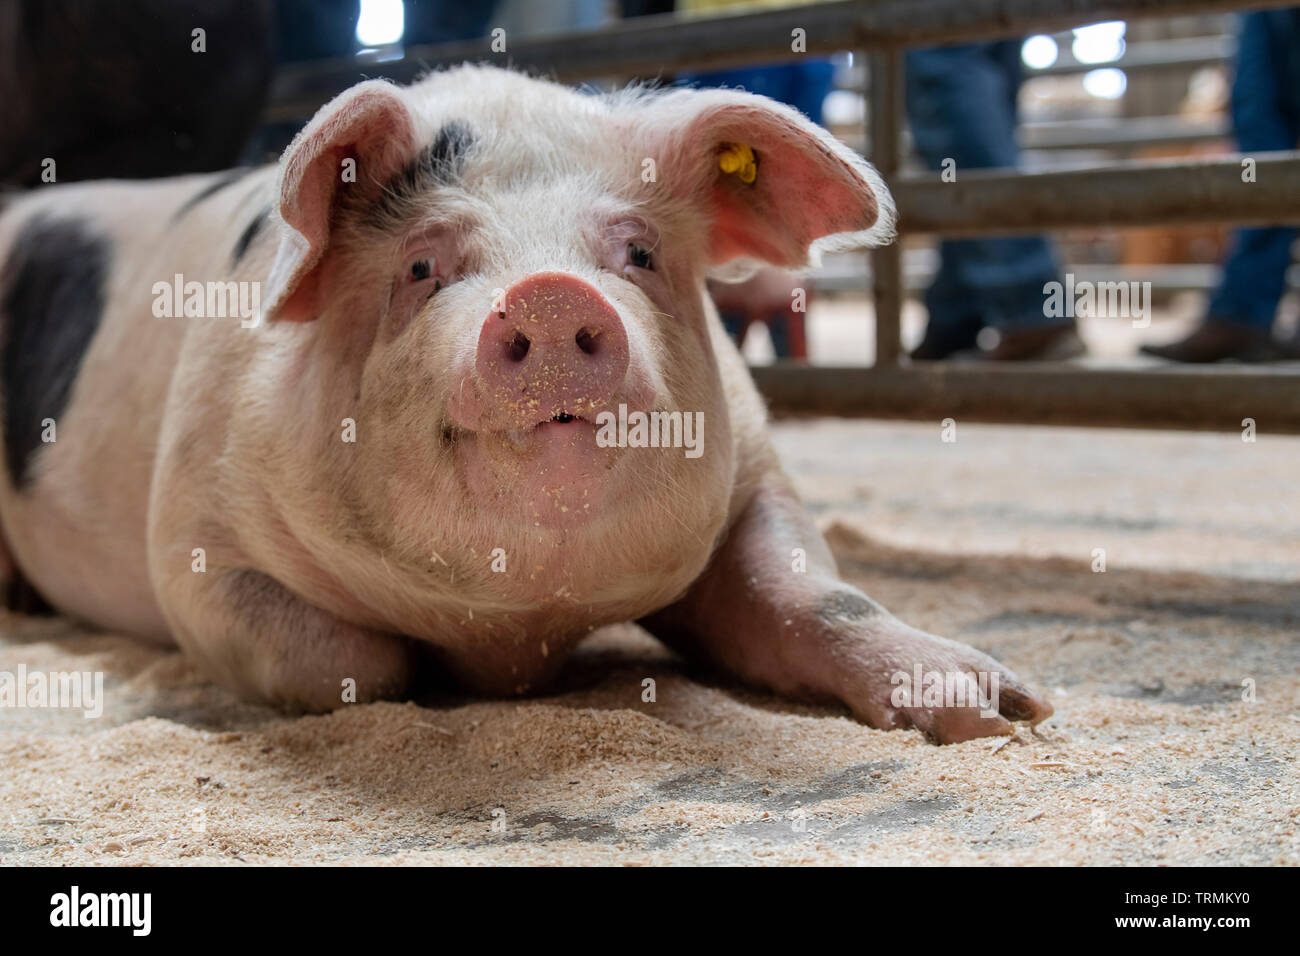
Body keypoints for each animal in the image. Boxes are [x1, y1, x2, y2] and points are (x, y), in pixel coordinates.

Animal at [0, 66, 1051, 744]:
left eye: (637, 253)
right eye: (422, 266)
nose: (550, 294)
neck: (520, 627)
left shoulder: (757, 476)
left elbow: (812, 592)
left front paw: (1005, 714)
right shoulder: (193, 541)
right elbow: (352, 665)